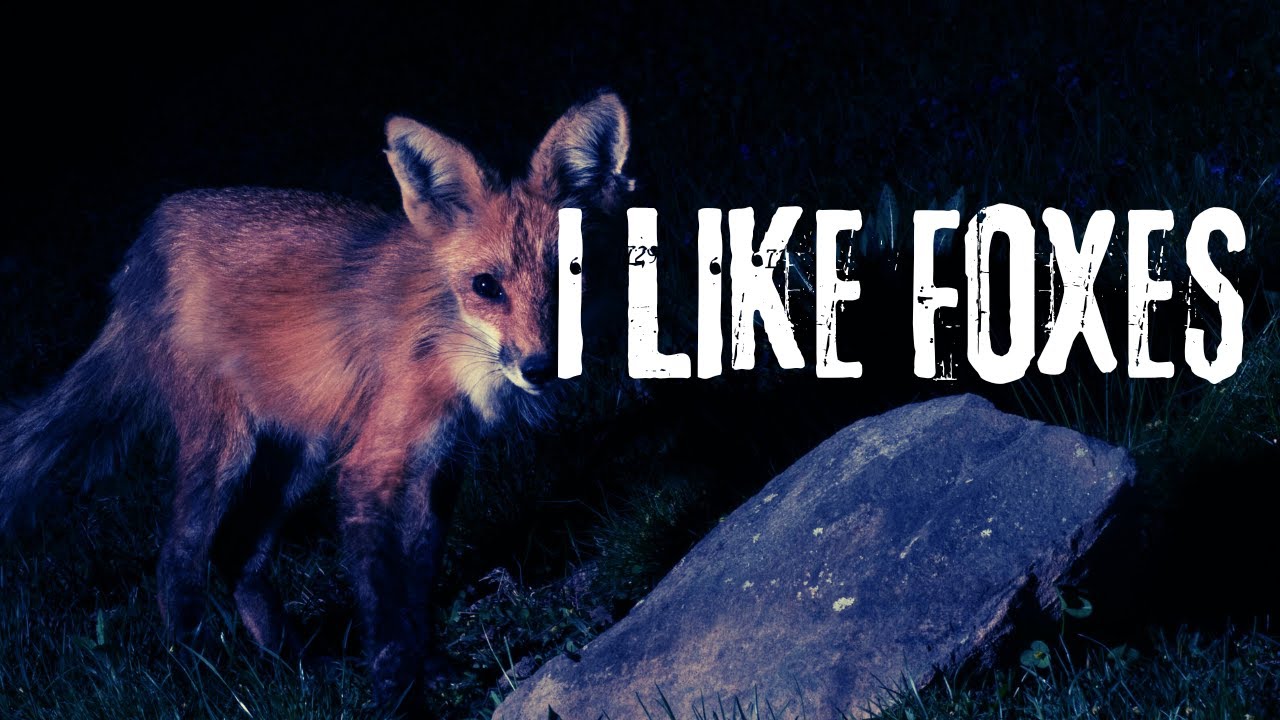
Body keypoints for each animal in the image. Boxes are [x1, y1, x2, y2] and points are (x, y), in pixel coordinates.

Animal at [0, 90, 633, 705]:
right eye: (486, 287)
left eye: (573, 274)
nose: (541, 367)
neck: (450, 345)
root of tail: (155, 230)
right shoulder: (370, 466)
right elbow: (384, 605)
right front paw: (396, 695)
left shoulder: (440, 462)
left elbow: (418, 583)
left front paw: (431, 667)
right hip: (227, 448)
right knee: (178, 557)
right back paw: (197, 672)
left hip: (297, 455)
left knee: (239, 554)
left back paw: (290, 662)